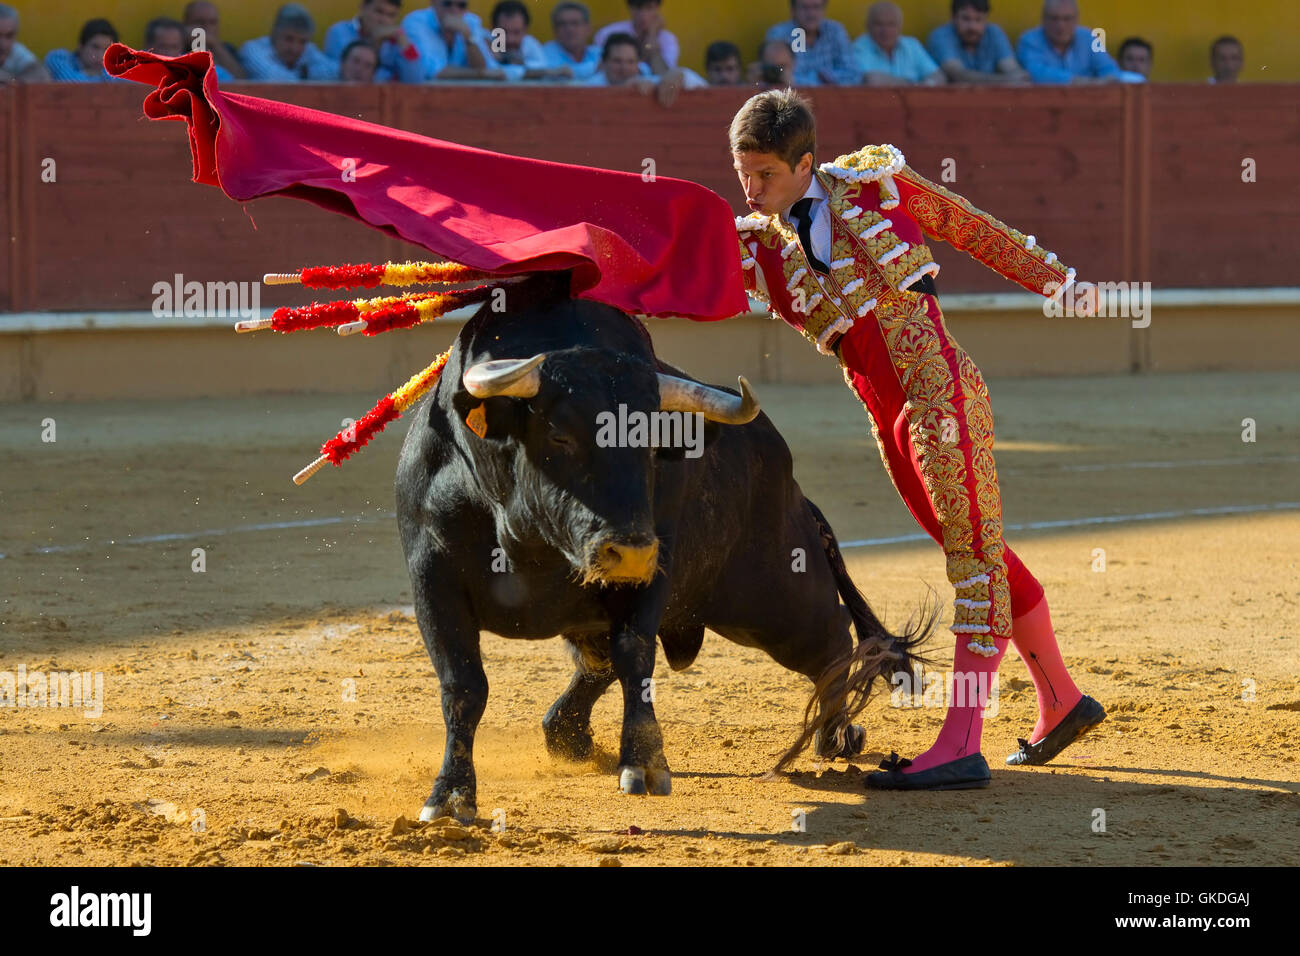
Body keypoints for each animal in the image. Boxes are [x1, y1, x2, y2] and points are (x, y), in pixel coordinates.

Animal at [396, 270, 935, 823]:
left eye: (654, 443)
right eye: (559, 435)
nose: (630, 552)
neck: (534, 543)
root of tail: (790, 478)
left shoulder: (655, 571)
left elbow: (635, 656)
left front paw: (645, 766)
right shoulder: (432, 578)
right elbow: (464, 684)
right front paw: (451, 796)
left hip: (779, 600)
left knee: (833, 643)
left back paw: (835, 736)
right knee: (595, 664)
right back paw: (569, 736)